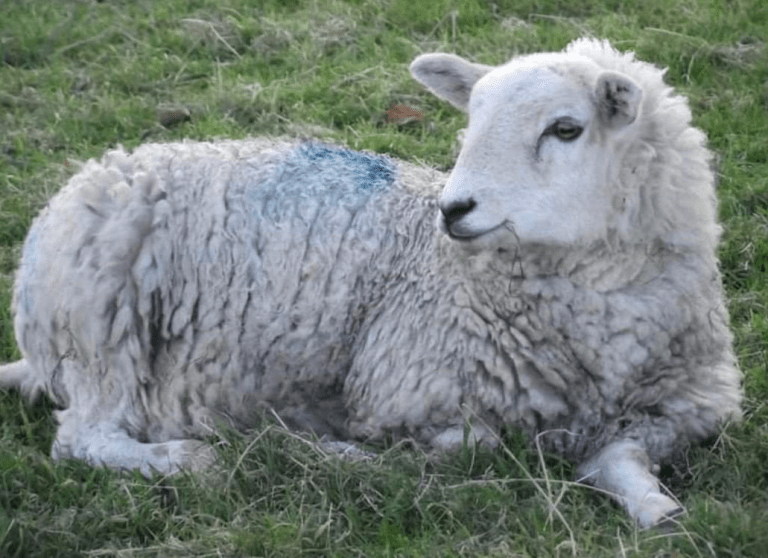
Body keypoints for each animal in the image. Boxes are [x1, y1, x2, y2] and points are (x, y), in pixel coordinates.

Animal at [0, 38, 742, 528]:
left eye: (566, 128)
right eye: (469, 122)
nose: (454, 208)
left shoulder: (685, 411)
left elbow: (622, 457)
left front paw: (659, 510)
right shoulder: (401, 391)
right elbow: (470, 445)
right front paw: (335, 453)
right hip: (101, 329)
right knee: (82, 438)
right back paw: (191, 457)